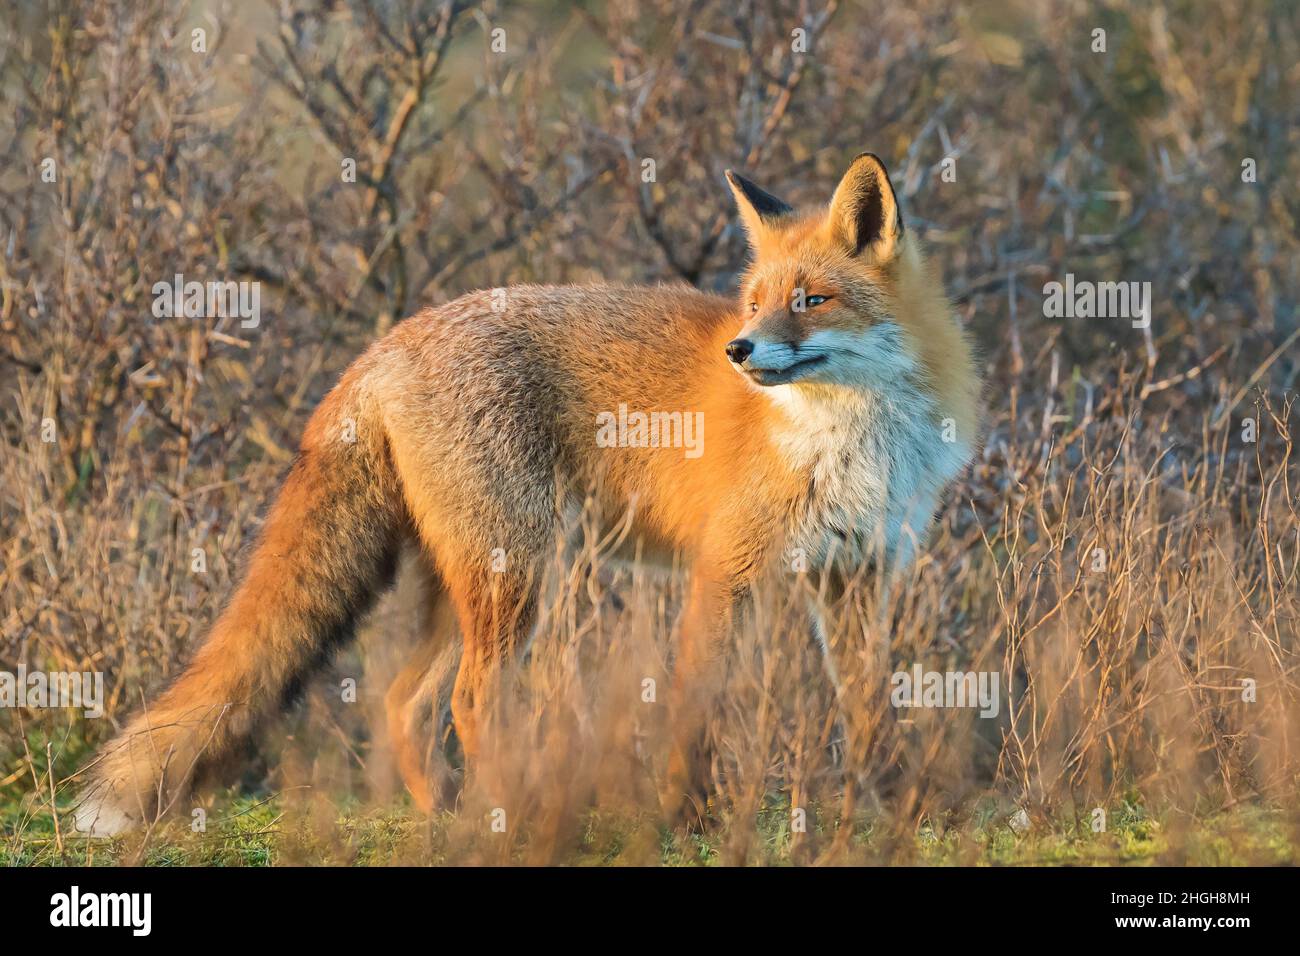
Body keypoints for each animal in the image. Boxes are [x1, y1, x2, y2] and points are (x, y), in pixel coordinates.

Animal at [75, 152, 981, 835]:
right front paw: (687, 816)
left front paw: (892, 809)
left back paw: (445, 816)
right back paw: (512, 812)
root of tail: (384, 347)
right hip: (519, 576)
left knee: (404, 702)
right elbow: (696, 705)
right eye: (755, 302)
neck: (851, 437)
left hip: (471, 584)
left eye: (811, 300)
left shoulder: (857, 573)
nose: (738, 349)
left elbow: (868, 703)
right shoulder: (726, 569)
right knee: (470, 701)